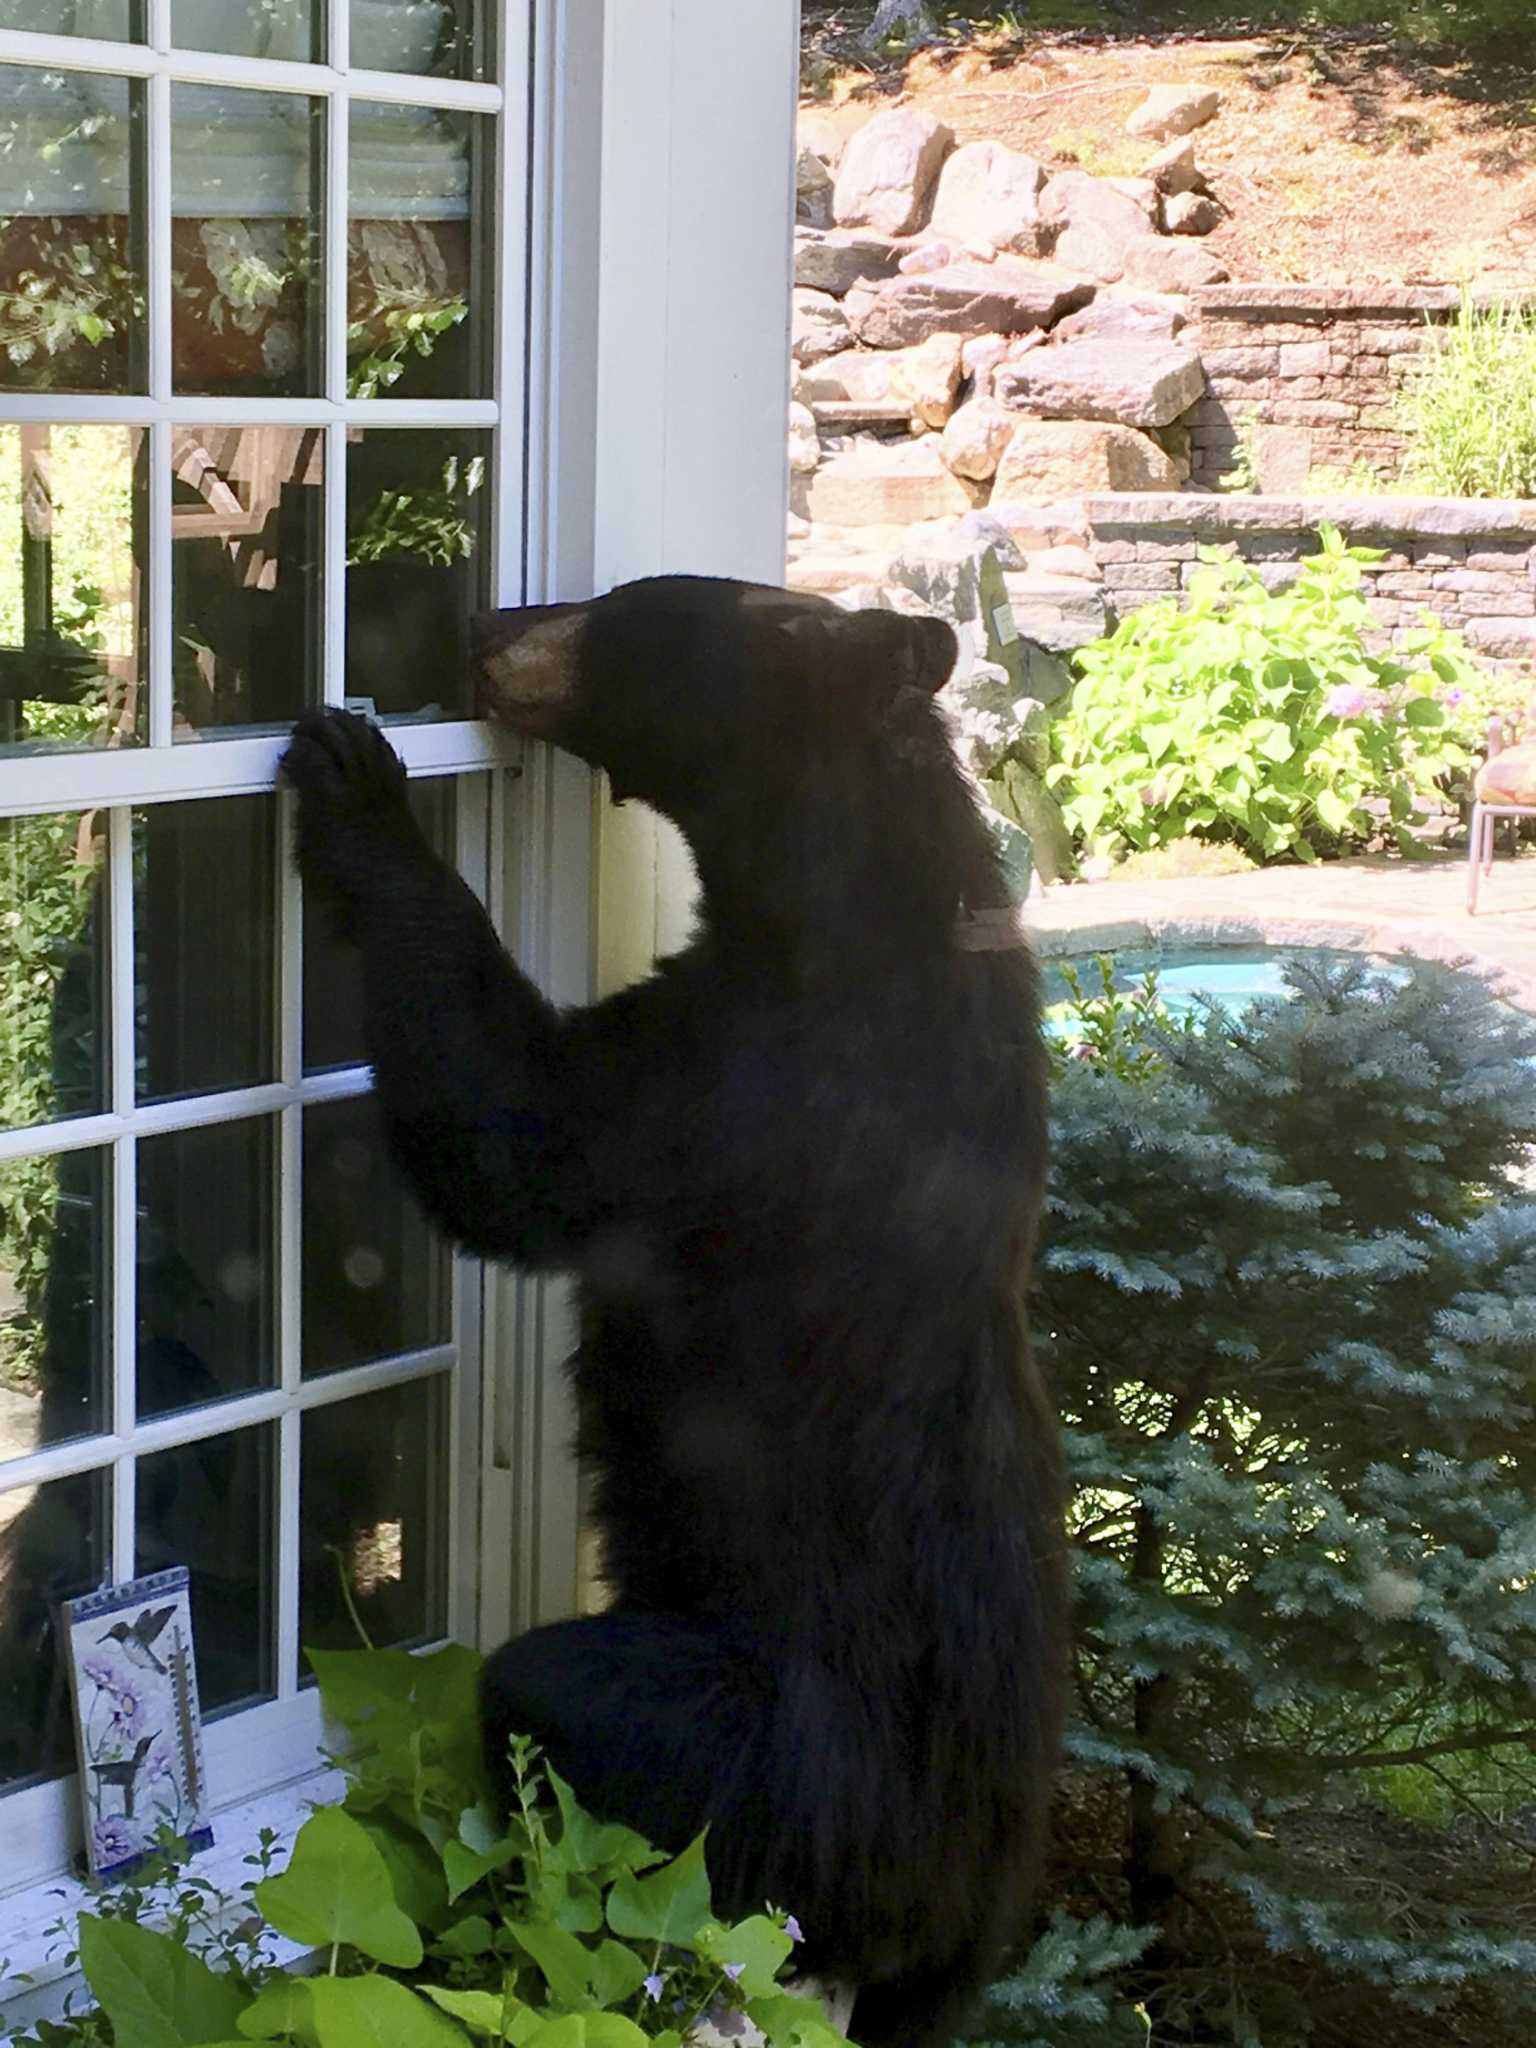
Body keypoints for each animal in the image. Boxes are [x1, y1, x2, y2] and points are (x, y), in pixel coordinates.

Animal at [279, 575, 1067, 2048]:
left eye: (627, 610)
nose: (480, 620)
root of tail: (942, 1901)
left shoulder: (743, 1089)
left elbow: (521, 1129)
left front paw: (357, 782)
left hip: (760, 1744)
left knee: (560, 1706)